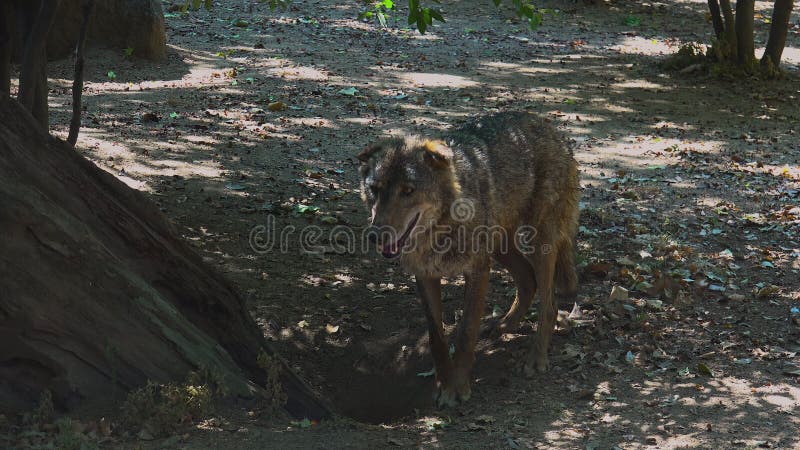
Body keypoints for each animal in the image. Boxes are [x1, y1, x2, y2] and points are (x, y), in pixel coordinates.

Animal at [358, 111, 579, 407]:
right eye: (375, 189)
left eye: (408, 190)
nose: (375, 235)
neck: (440, 230)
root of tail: (550, 127)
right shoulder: (425, 275)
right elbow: (437, 339)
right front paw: (443, 384)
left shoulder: (477, 270)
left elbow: (465, 334)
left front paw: (458, 387)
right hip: (501, 246)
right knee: (527, 281)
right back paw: (505, 325)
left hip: (539, 244)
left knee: (550, 304)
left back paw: (536, 358)